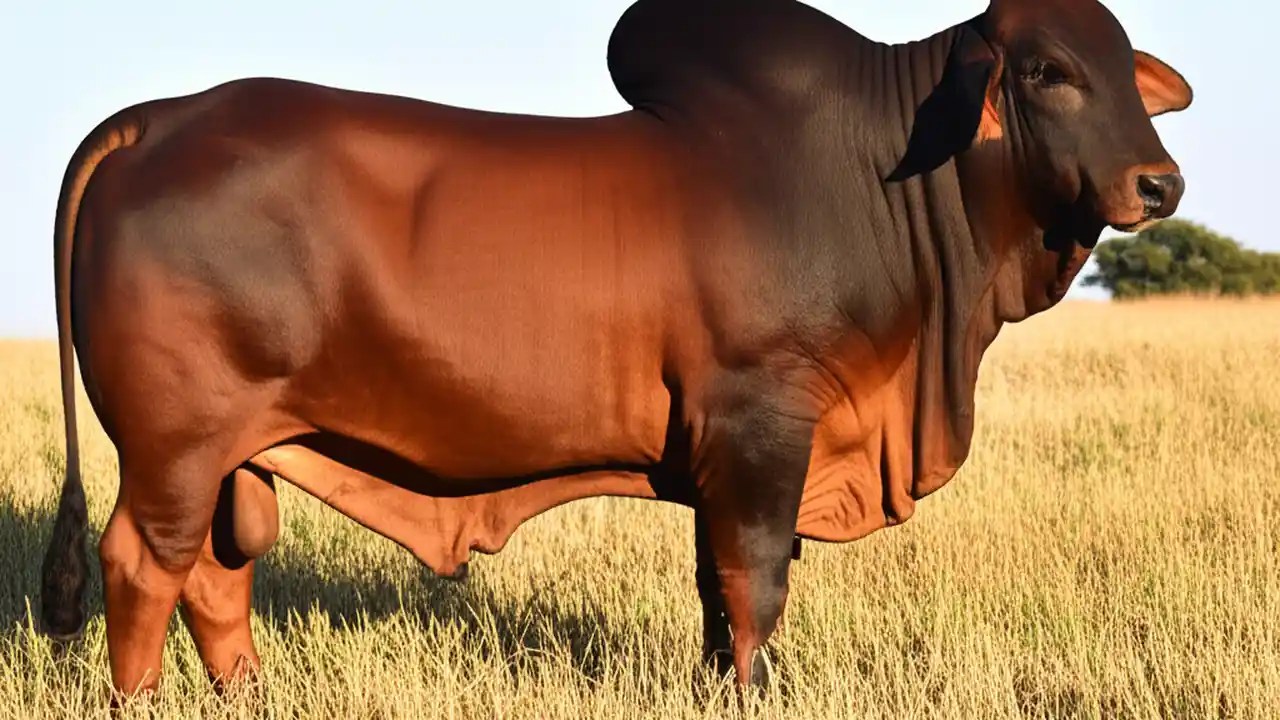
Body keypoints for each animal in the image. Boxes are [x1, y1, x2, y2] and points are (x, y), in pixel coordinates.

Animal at [39, 0, 1191, 698]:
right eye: (1046, 71)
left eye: (1125, 73)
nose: (1159, 184)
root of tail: (155, 121)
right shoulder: (762, 421)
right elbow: (753, 581)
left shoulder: (725, 455)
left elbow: (715, 591)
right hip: (176, 445)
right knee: (143, 566)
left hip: (236, 451)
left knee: (215, 576)